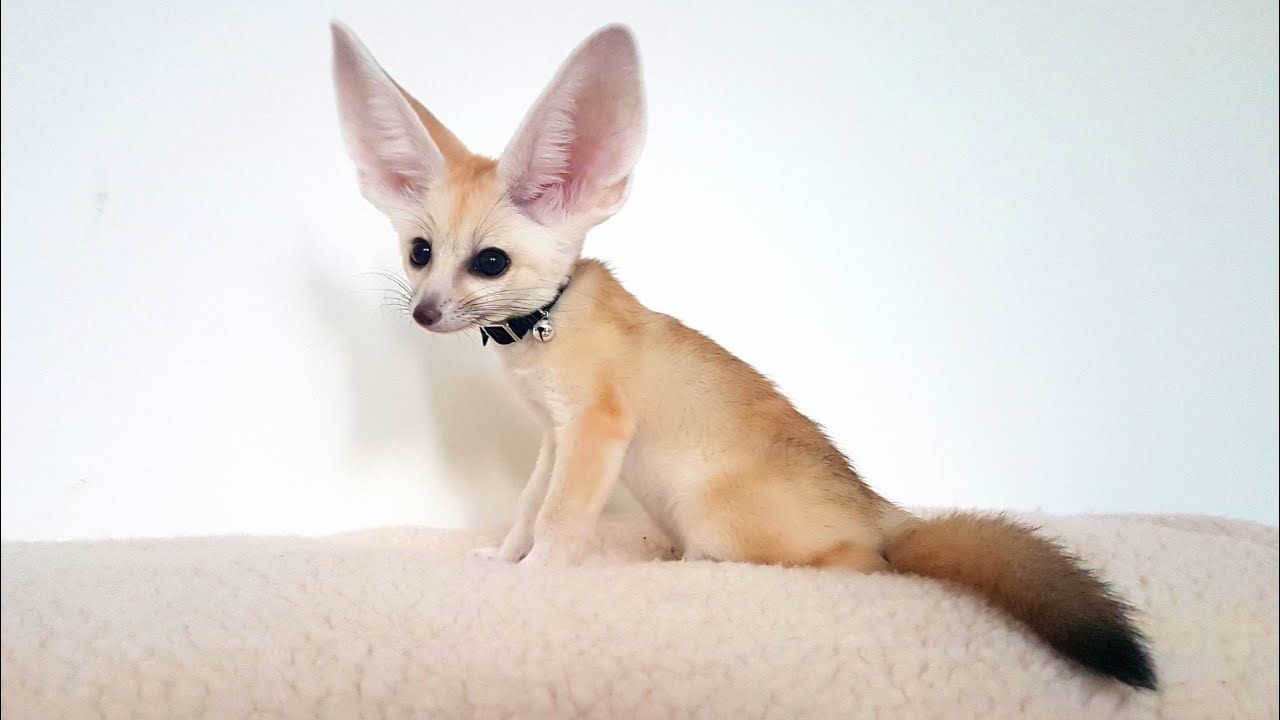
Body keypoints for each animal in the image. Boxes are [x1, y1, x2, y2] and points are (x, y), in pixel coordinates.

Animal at [329, 21, 1157, 689]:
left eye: (490, 263)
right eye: (420, 253)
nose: (423, 312)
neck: (548, 326)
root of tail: (877, 507)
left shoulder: (594, 429)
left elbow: (560, 520)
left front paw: (534, 578)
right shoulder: (553, 436)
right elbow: (529, 508)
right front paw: (505, 560)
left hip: (721, 516)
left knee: (870, 565)